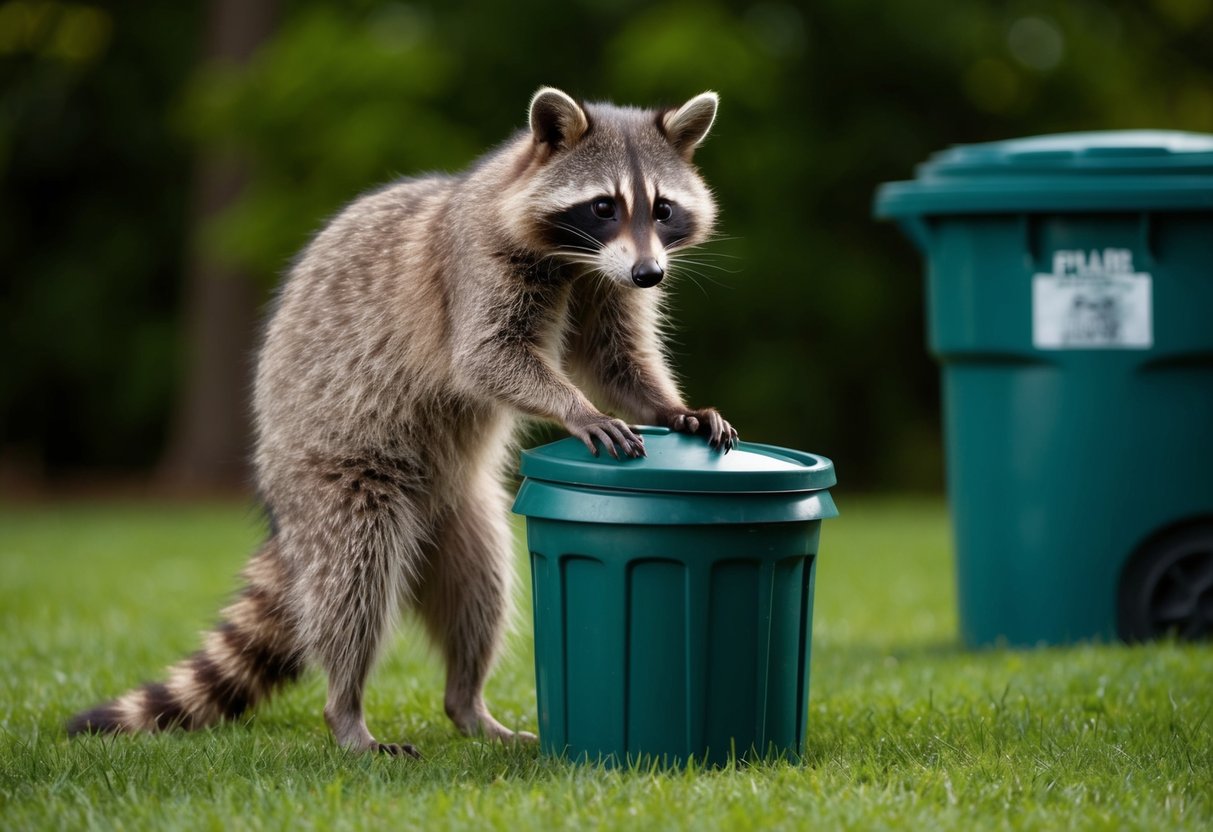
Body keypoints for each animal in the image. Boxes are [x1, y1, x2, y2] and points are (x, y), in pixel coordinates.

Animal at [68, 87, 737, 756]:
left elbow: (616, 360)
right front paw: (576, 407)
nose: (650, 274)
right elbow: (486, 356)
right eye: (603, 206)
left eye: (663, 208)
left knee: (480, 591)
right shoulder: (477, 265)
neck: (576, 259)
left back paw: (467, 701)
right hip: (333, 476)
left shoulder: (606, 283)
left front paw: (670, 407)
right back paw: (346, 710)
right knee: (352, 581)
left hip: (461, 509)